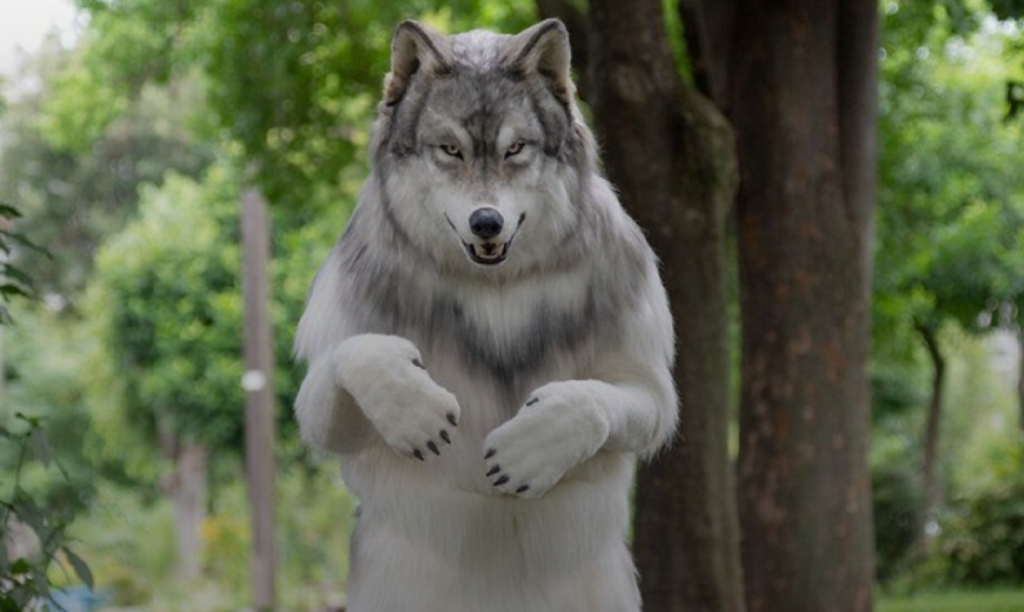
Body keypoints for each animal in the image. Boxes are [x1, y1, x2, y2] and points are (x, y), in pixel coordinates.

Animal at [294, 18, 677, 612]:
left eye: (514, 148)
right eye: (450, 150)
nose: (486, 223)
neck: (493, 289)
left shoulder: (648, 387)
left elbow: (593, 401)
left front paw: (535, 445)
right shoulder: (320, 395)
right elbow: (358, 355)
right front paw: (414, 409)